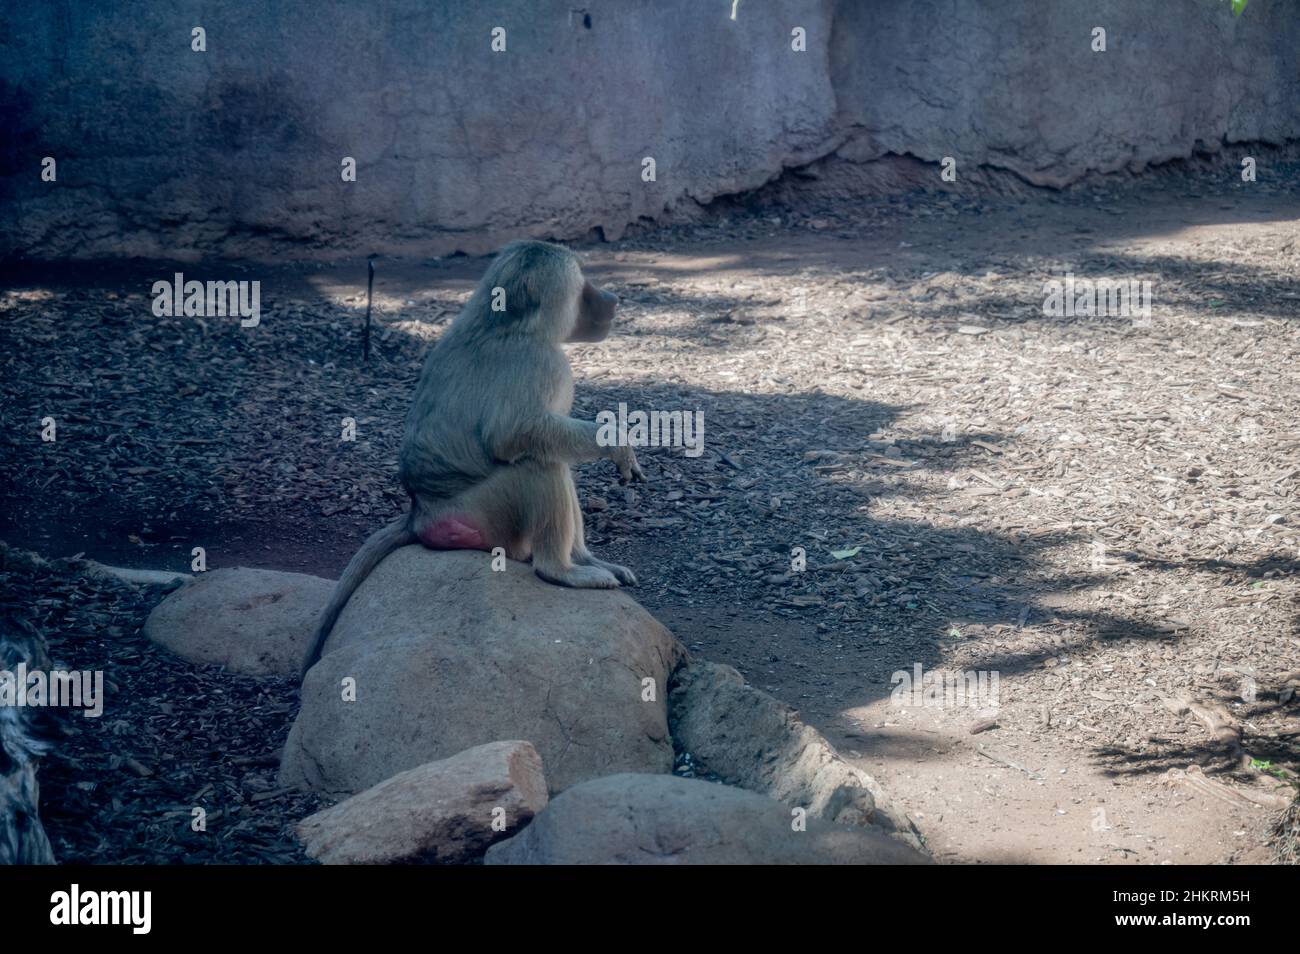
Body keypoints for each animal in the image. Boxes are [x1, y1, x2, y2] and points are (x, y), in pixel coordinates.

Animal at [301, 241, 644, 675]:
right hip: (485, 513)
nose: (612, 299)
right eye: (583, 287)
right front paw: (615, 441)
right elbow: (512, 434)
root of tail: (419, 512)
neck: (508, 324)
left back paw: (585, 560)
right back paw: (563, 571)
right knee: (539, 466)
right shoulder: (542, 362)